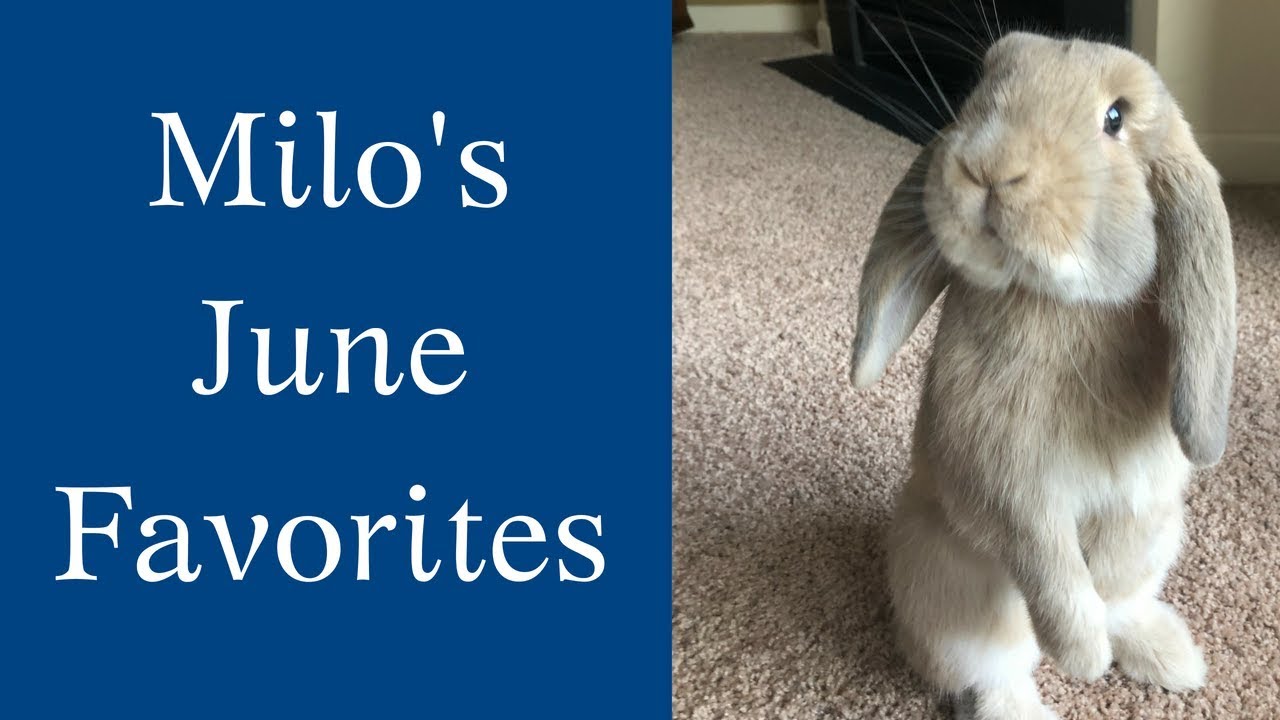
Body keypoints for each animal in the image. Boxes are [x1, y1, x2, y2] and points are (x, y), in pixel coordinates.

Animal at [849, 32, 1236, 720]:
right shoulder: (999, 476)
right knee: (990, 675)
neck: (1059, 301)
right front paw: (1083, 657)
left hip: (1167, 536)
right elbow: (1046, 556)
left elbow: (1107, 562)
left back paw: (1174, 660)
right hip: (949, 603)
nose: (989, 167)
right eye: (984, 83)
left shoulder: (1143, 493)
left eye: (1116, 117)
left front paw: (1097, 638)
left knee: (1128, 600)